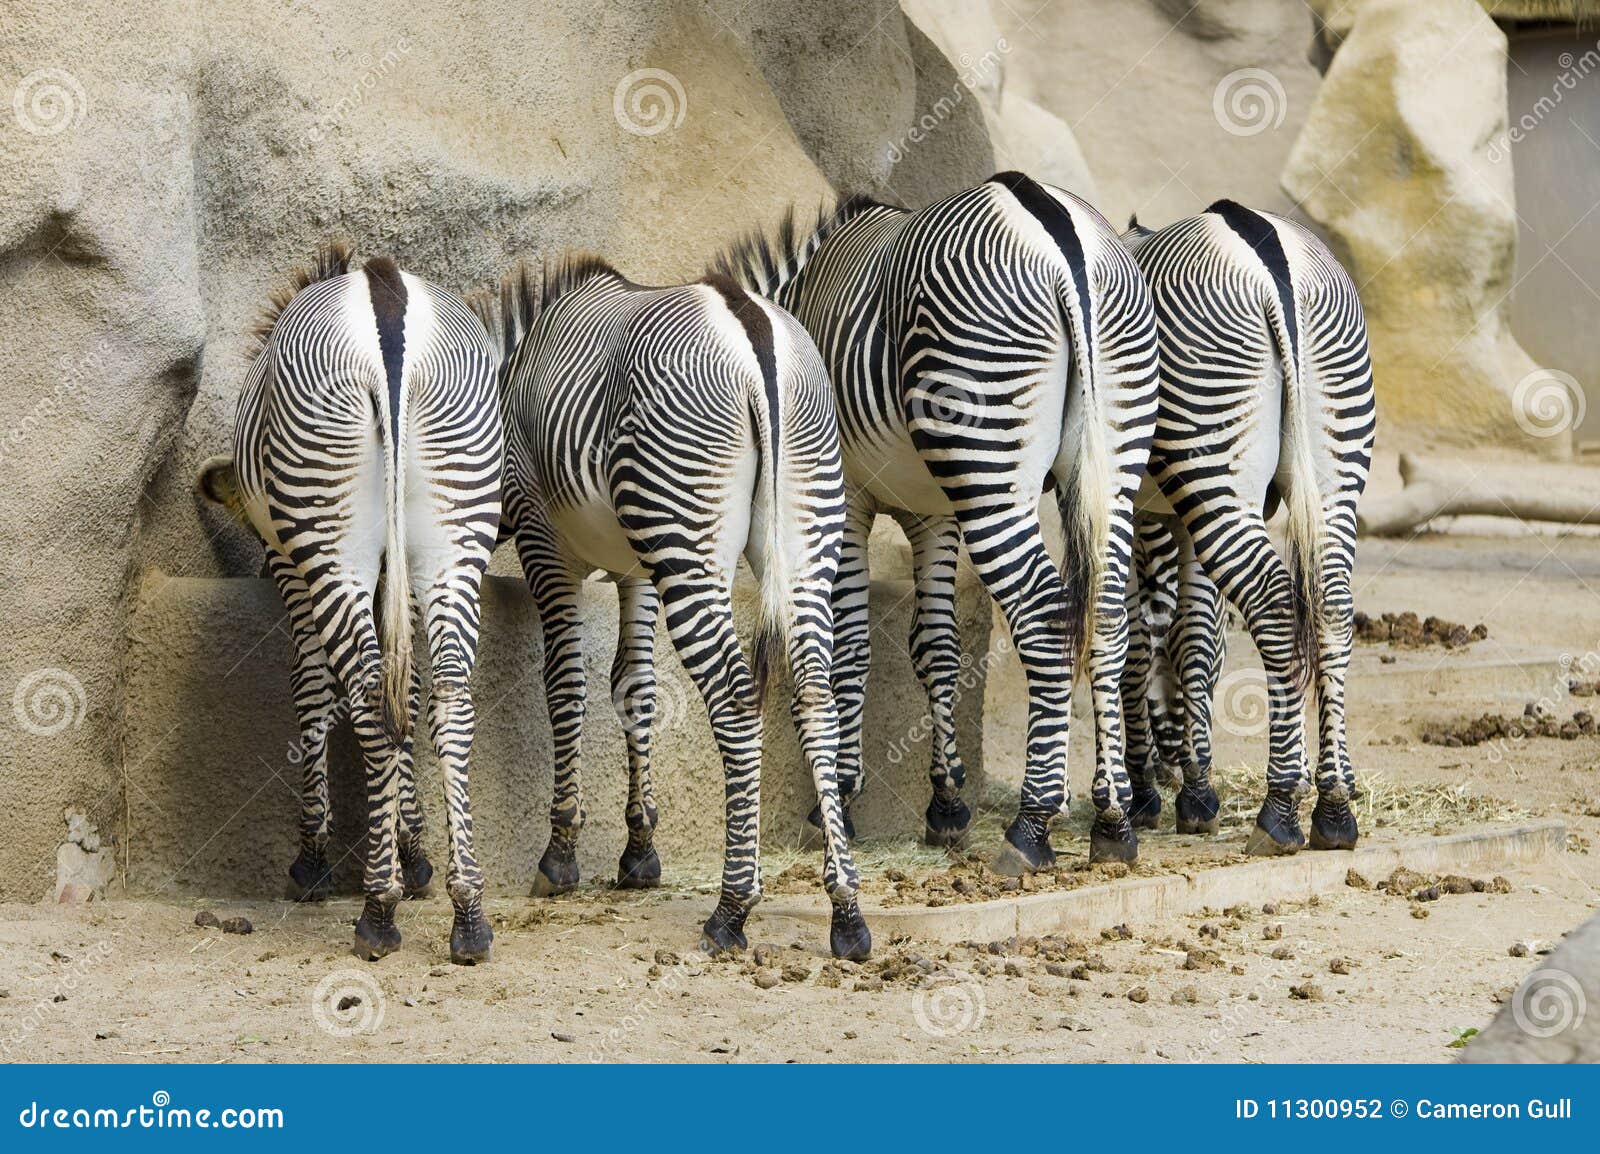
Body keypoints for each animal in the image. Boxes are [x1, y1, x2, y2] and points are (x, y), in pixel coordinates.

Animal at [197, 240, 504, 964]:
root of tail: (382, 294)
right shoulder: (402, 570)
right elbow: (409, 690)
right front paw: (413, 848)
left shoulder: (291, 564)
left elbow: (312, 689)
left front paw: (315, 858)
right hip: (457, 521)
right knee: (449, 693)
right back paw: (469, 915)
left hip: (325, 535)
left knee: (363, 692)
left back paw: (377, 909)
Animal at [475, 257, 870, 960]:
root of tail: (753, 326)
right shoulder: (637, 570)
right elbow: (635, 689)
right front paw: (640, 849)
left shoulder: (546, 545)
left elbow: (566, 687)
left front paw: (561, 856)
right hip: (809, 524)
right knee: (816, 699)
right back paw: (847, 911)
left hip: (684, 534)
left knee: (737, 701)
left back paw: (732, 908)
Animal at [714, 172, 1160, 871]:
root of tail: (1063, 238)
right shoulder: (936, 515)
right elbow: (937, 649)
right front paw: (946, 803)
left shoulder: (849, 502)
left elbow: (852, 650)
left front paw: (842, 797)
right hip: (1112, 453)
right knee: (1109, 617)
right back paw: (1113, 818)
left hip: (988, 451)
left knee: (1044, 617)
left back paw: (1032, 824)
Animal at [1120, 201, 1376, 854]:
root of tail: (1273, 263)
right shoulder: (1181, 516)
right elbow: (1196, 639)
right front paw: (1194, 790)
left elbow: (1140, 640)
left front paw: (1146, 793)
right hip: (1328, 467)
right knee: (1332, 605)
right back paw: (1334, 807)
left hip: (1211, 455)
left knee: (1275, 603)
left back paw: (1279, 812)